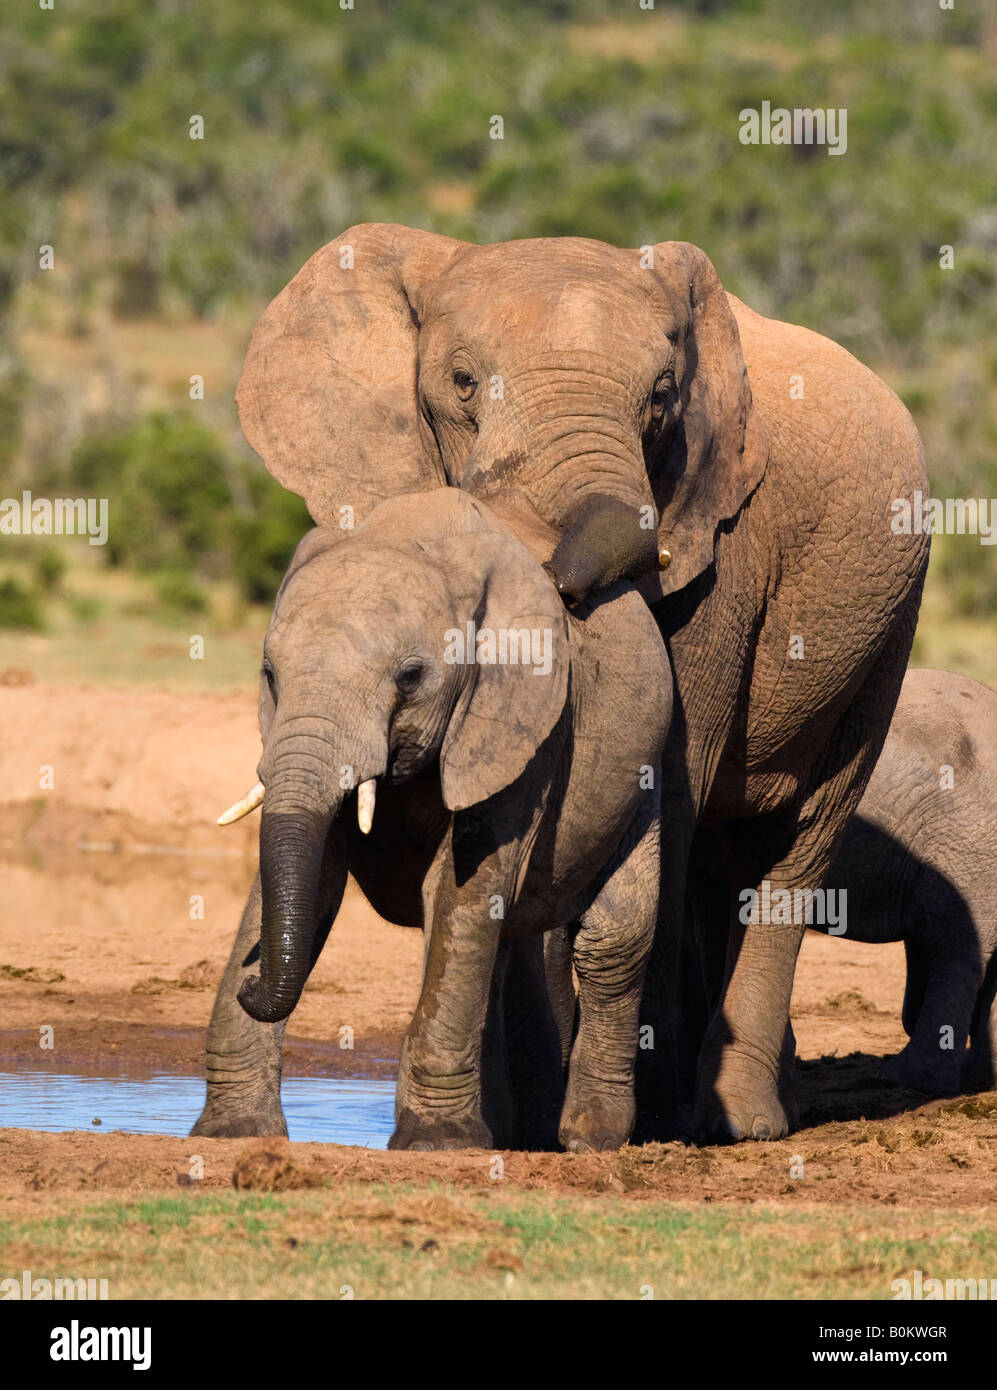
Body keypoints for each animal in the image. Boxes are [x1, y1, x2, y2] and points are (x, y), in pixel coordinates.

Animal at [192, 487, 672, 1151]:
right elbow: (312, 876)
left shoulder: (523, 718)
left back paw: (587, 1138)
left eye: (411, 676)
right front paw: (231, 1134)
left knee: (612, 943)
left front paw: (436, 1143)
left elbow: (460, 888)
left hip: (644, 777)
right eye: (269, 674)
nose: (246, 982)